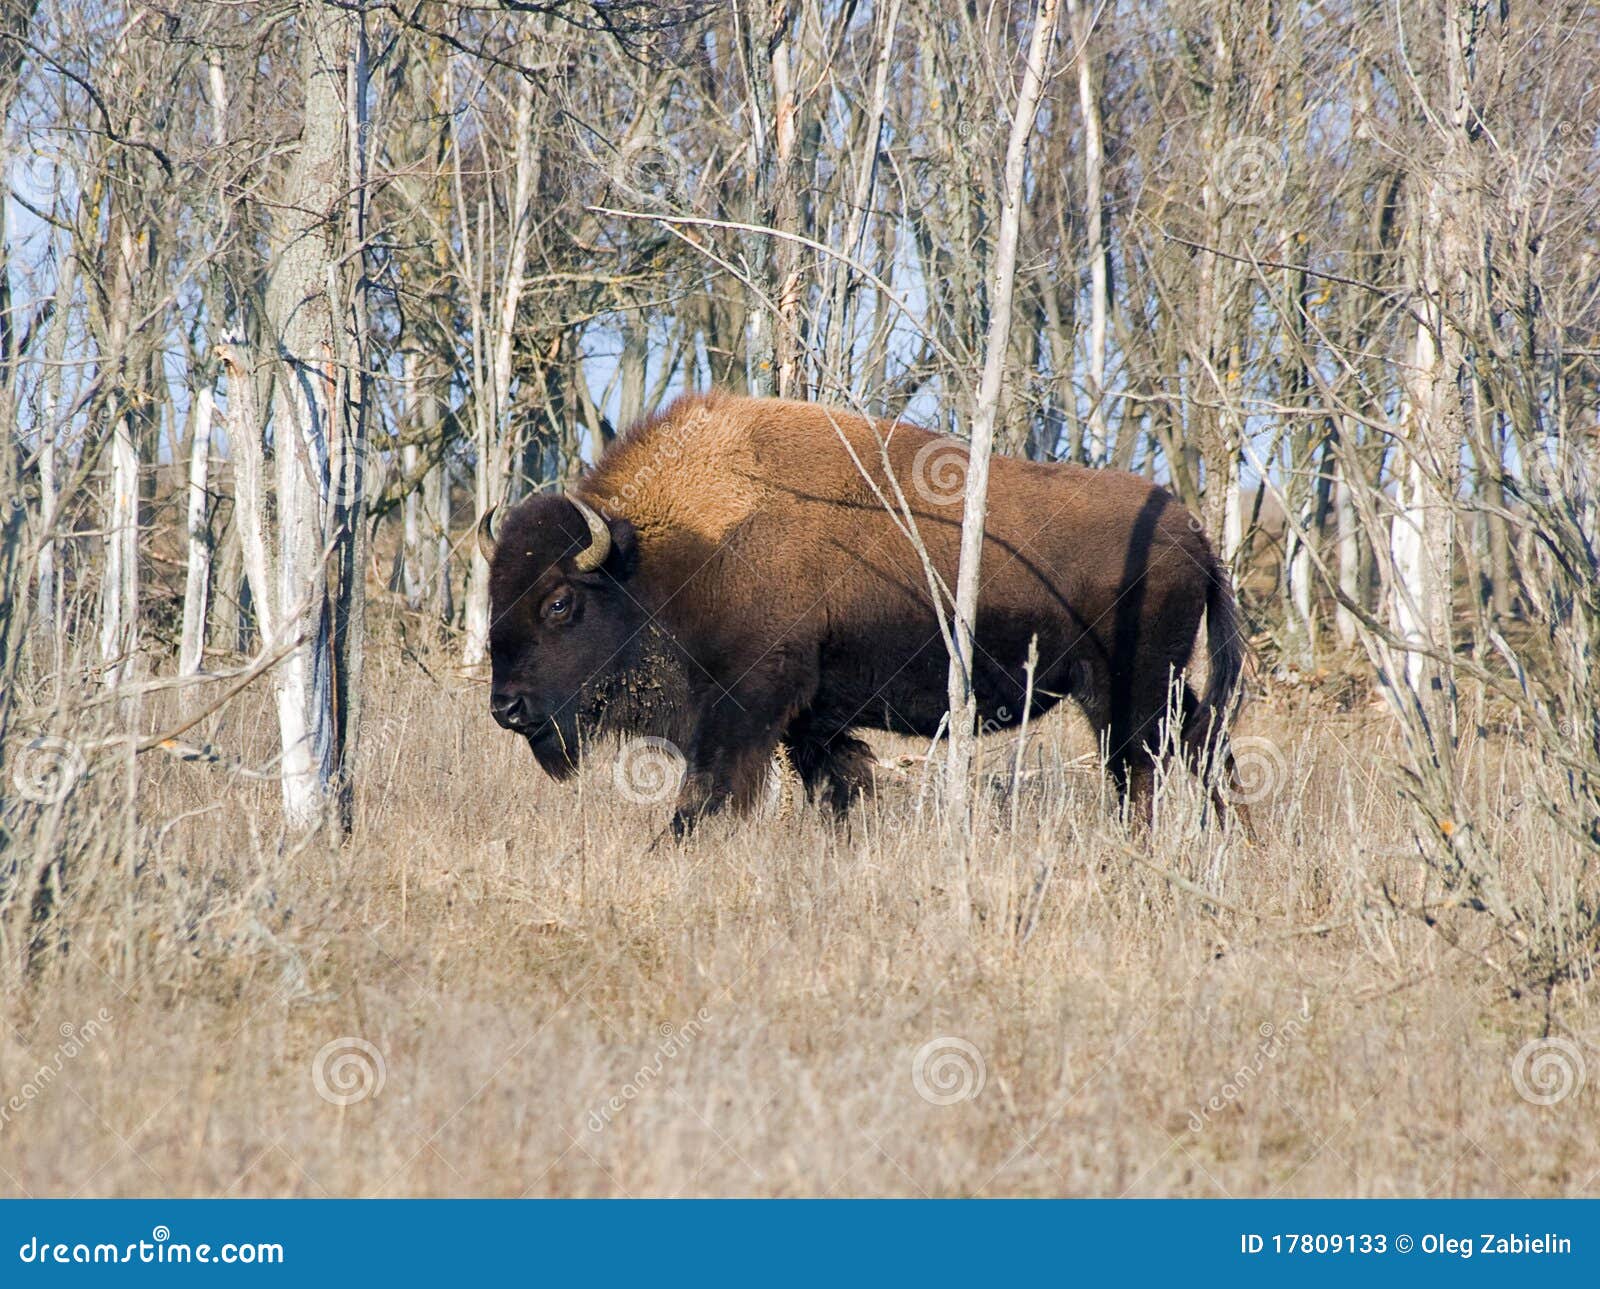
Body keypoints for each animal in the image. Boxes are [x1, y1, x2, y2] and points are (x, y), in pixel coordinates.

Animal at [479, 392, 1246, 835]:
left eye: (559, 601)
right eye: (494, 591)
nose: (506, 708)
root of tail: (1194, 533)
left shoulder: (745, 704)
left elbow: (708, 795)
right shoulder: (811, 719)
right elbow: (837, 784)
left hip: (1132, 689)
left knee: (1147, 767)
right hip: (1152, 687)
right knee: (1202, 744)